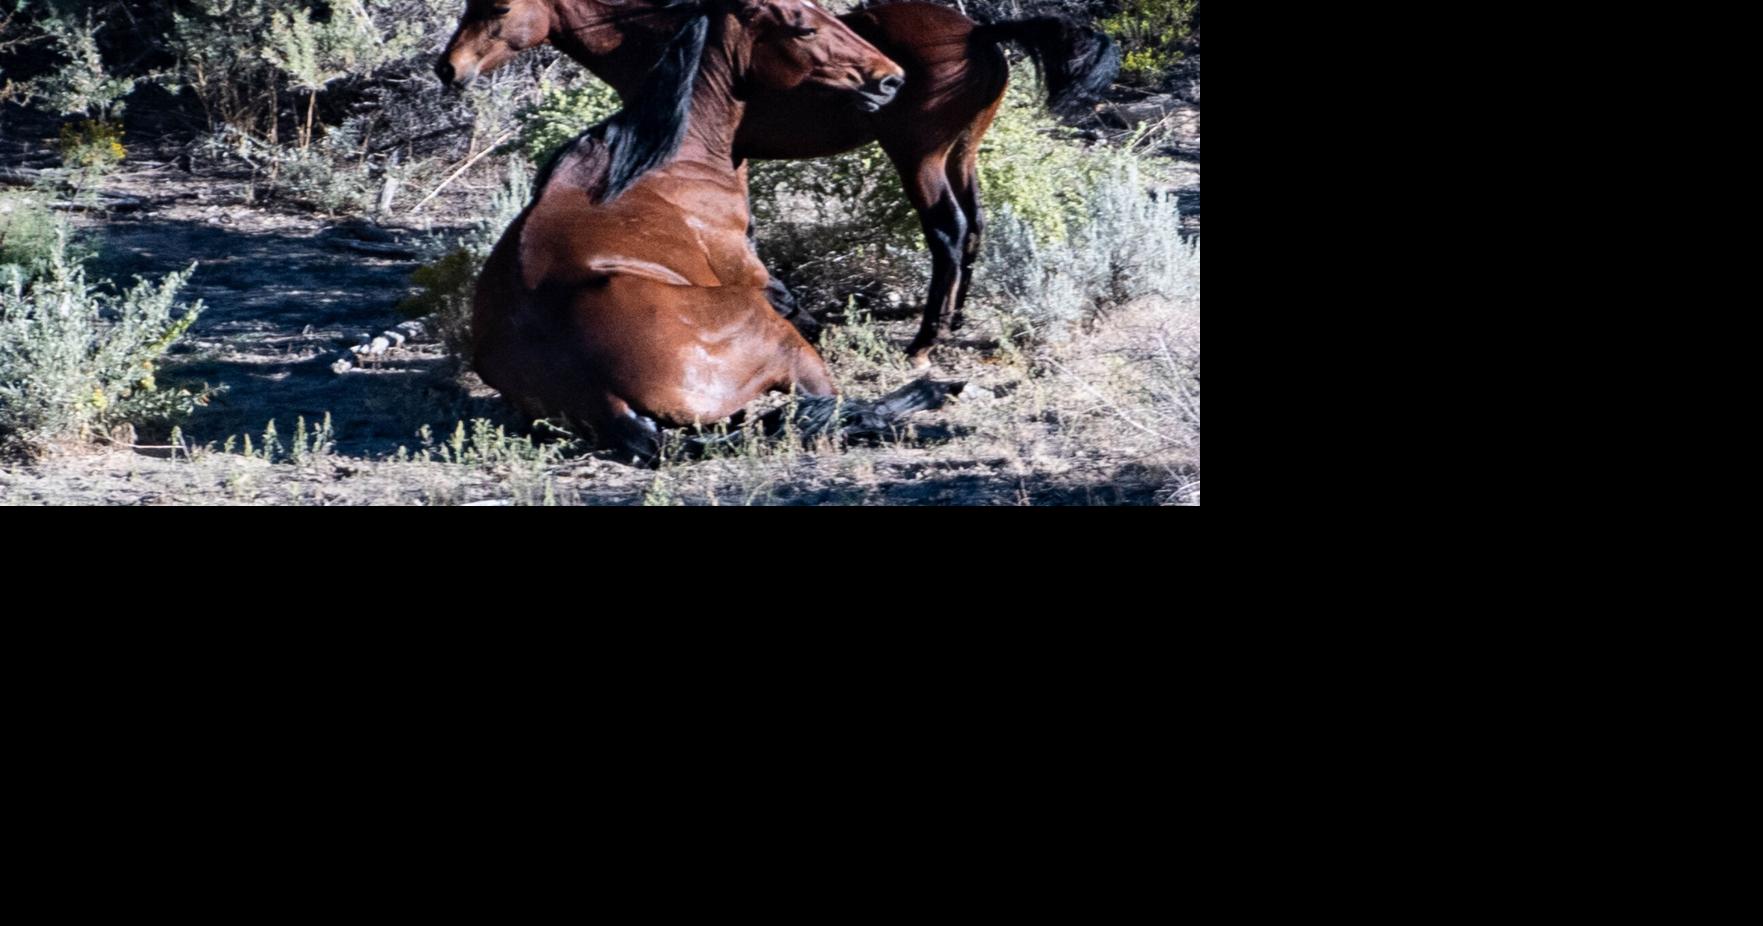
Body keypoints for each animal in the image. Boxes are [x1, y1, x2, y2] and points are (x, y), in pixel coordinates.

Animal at [440, 0, 1118, 368]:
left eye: (498, 9)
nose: (449, 69)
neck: (654, 38)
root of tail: (979, 32)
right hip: (960, 153)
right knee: (974, 226)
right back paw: (952, 322)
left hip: (918, 156)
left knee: (947, 232)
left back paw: (923, 342)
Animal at [472, 0, 959, 462]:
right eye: (803, 27)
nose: (891, 79)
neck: (668, 158)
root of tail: (600, 398)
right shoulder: (750, 271)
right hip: (782, 345)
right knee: (836, 412)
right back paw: (935, 400)